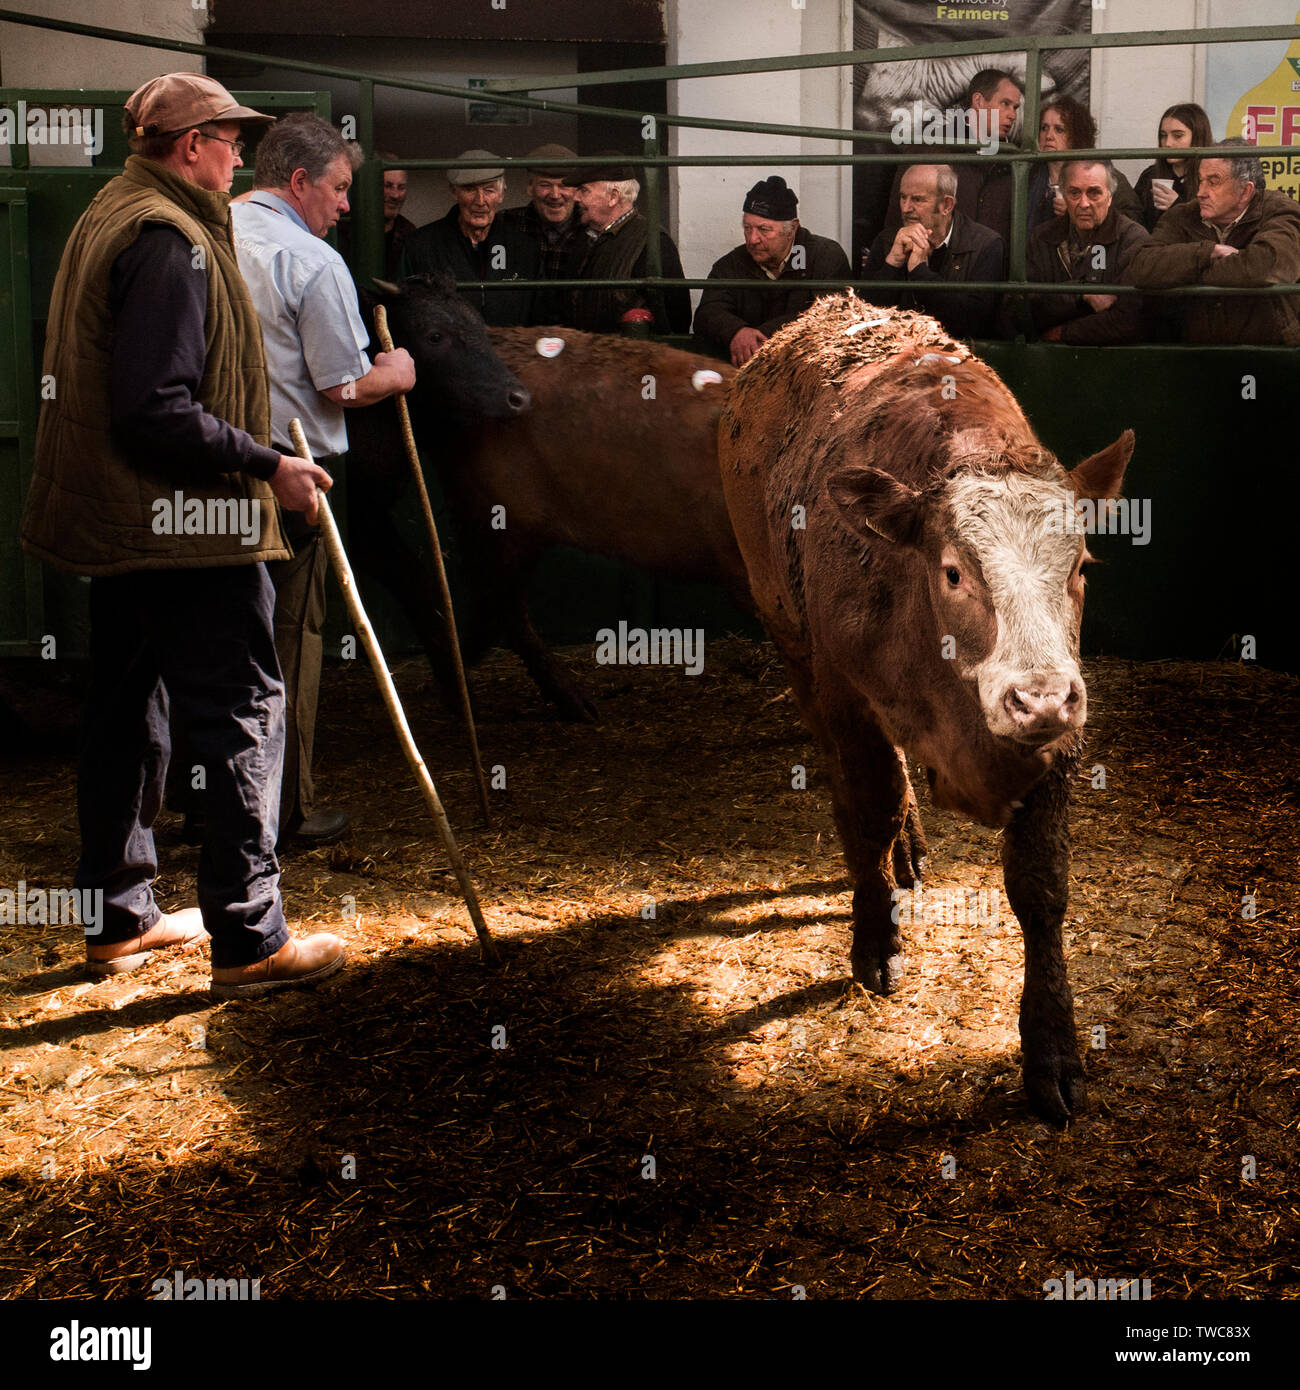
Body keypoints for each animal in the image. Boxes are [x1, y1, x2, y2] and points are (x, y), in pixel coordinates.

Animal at [717, 292, 1133, 1124]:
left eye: (1080, 564)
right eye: (953, 572)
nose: (1038, 697)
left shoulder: (1056, 732)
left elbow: (1041, 883)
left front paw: (1052, 1045)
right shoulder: (844, 692)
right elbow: (866, 809)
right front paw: (875, 939)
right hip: (789, 638)